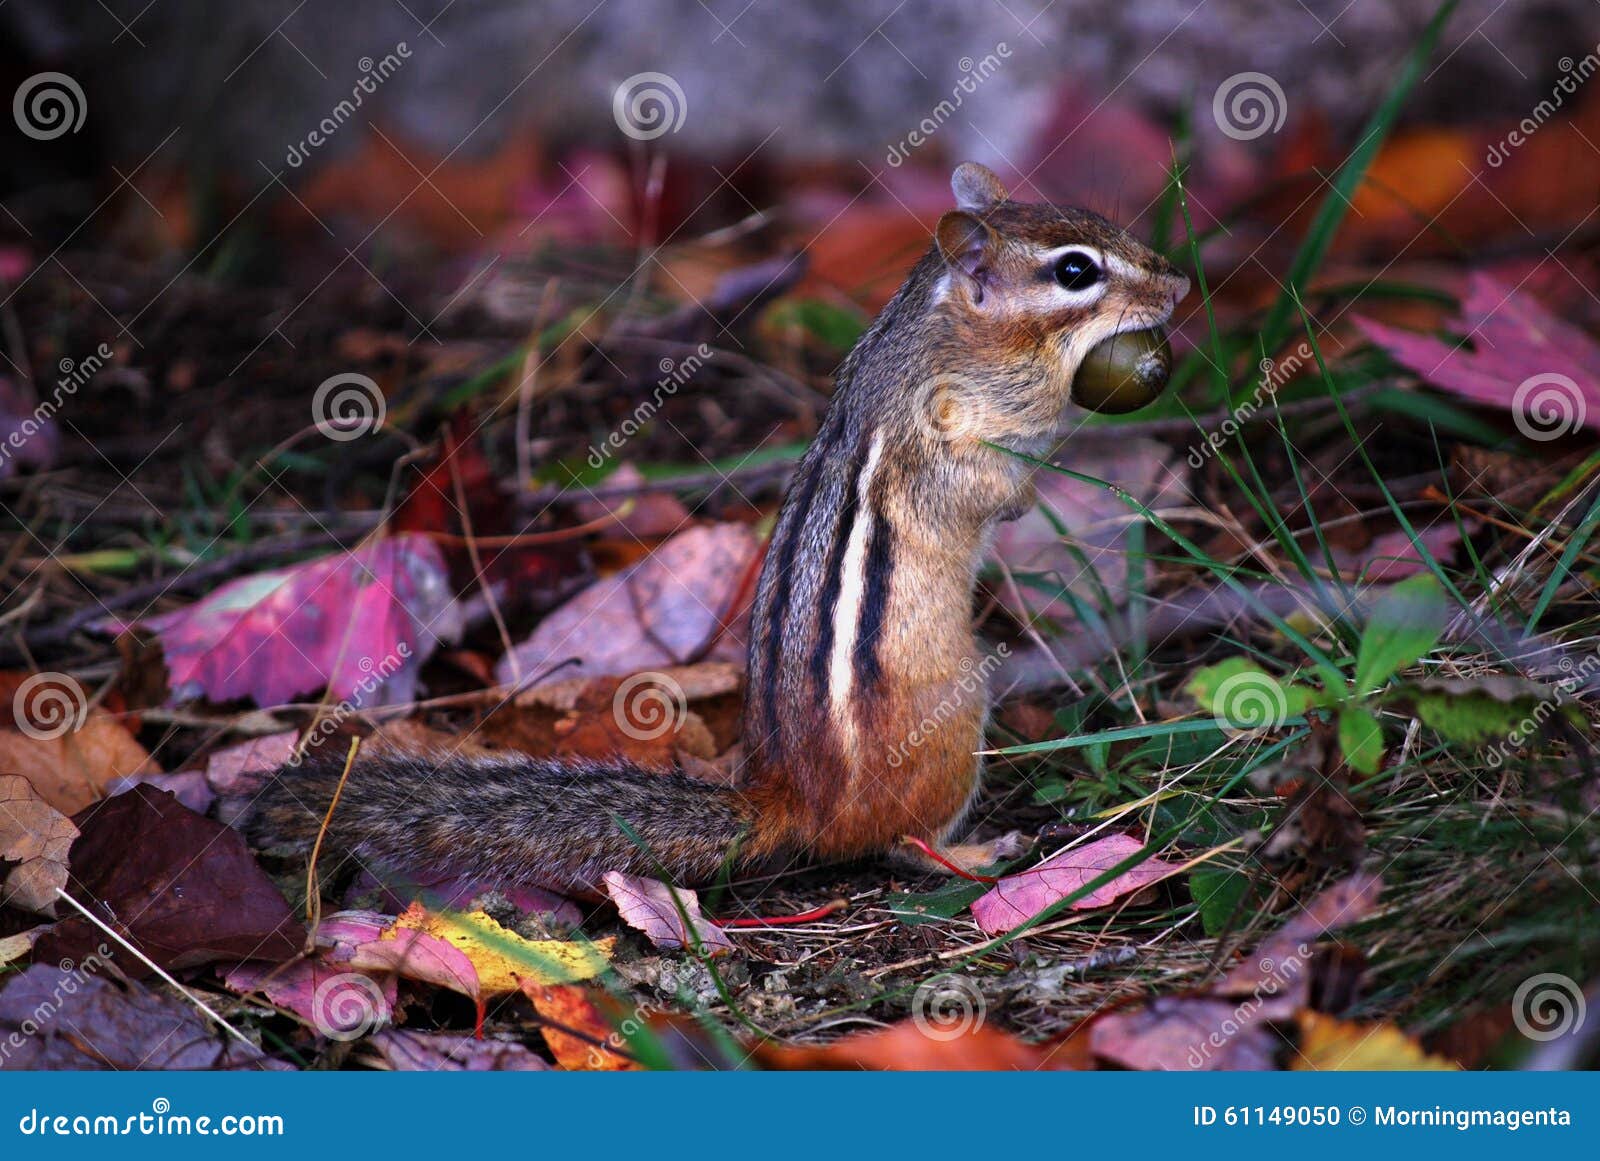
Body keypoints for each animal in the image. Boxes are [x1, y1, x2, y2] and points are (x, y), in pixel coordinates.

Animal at [246, 163, 1189, 892]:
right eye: (1076, 272)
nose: (1179, 283)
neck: (967, 337)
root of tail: (790, 799)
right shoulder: (949, 438)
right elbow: (988, 486)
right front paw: (1032, 491)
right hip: (955, 725)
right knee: (899, 843)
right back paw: (978, 853)